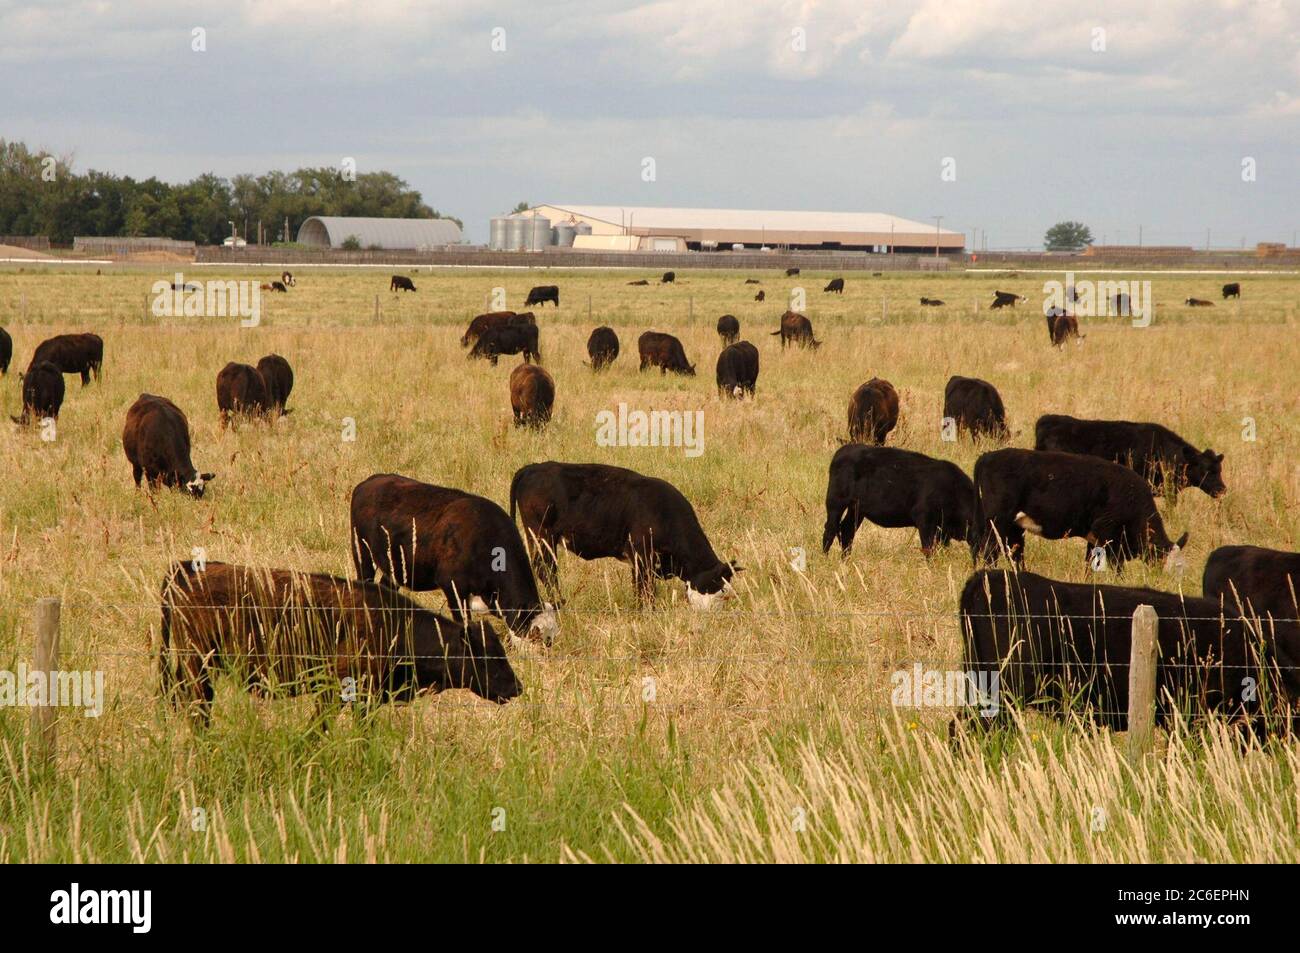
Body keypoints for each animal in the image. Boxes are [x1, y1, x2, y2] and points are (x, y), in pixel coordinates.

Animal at [158, 561, 520, 725]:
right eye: (489, 656)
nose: (516, 687)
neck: (392, 624)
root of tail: (188, 571)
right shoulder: (337, 689)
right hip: (199, 666)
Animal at [350, 473, 559, 645]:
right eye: (535, 635)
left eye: (551, 639)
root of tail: (369, 481)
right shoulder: (453, 588)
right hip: (362, 555)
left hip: (395, 569)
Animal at [509, 462, 741, 606]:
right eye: (720, 588)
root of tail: (533, 467)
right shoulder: (642, 556)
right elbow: (645, 589)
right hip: (542, 537)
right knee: (546, 571)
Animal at [822, 445, 975, 557]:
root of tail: (843, 451)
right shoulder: (925, 519)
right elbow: (928, 548)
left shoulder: (943, 530)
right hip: (835, 504)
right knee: (830, 529)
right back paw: (825, 558)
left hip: (857, 509)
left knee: (847, 530)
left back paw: (846, 560)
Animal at [970, 448, 1187, 570]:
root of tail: (988, 456)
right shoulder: (1108, 534)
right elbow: (1116, 566)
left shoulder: (1095, 539)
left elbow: (1089, 564)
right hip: (997, 522)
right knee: (990, 551)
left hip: (1013, 526)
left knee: (1014, 554)